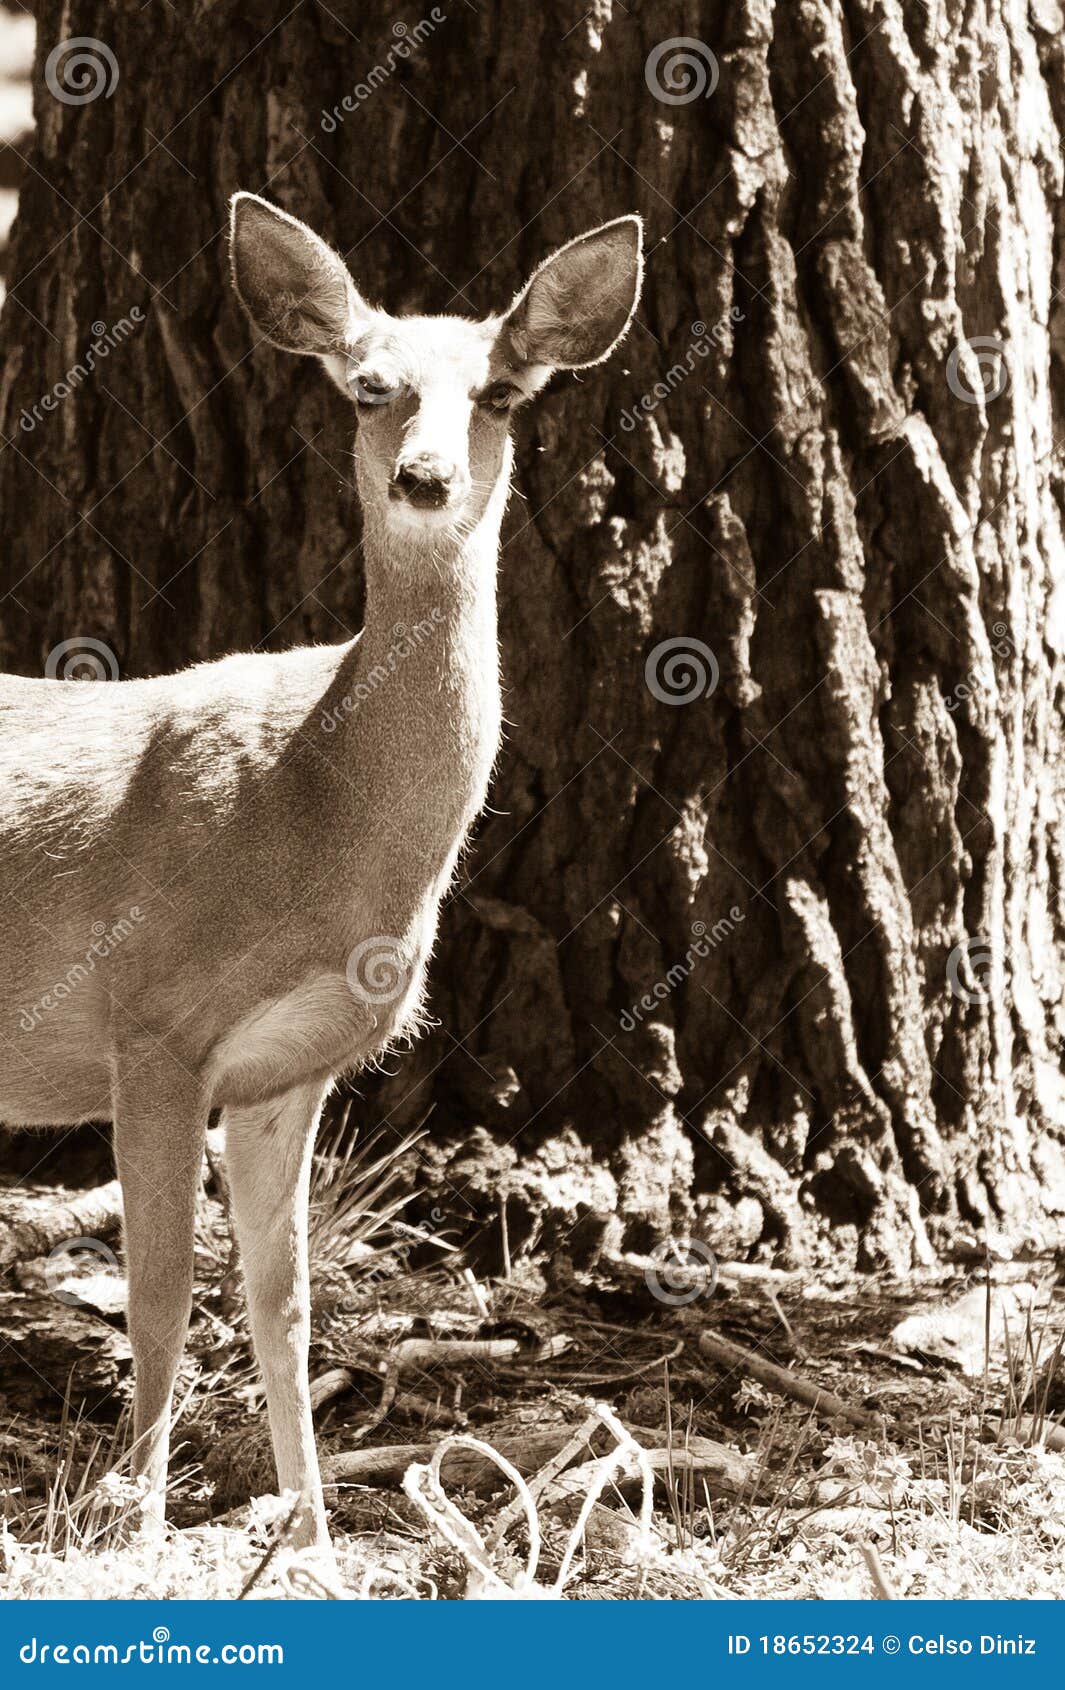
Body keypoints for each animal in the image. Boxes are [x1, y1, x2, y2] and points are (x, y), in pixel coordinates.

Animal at [0, 192, 642, 1560]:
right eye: (367, 386)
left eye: (502, 389)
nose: (425, 477)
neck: (316, 807)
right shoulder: (150, 1018)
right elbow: (158, 1290)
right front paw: (138, 1523)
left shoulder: (286, 1071)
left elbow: (283, 1302)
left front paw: (309, 1536)